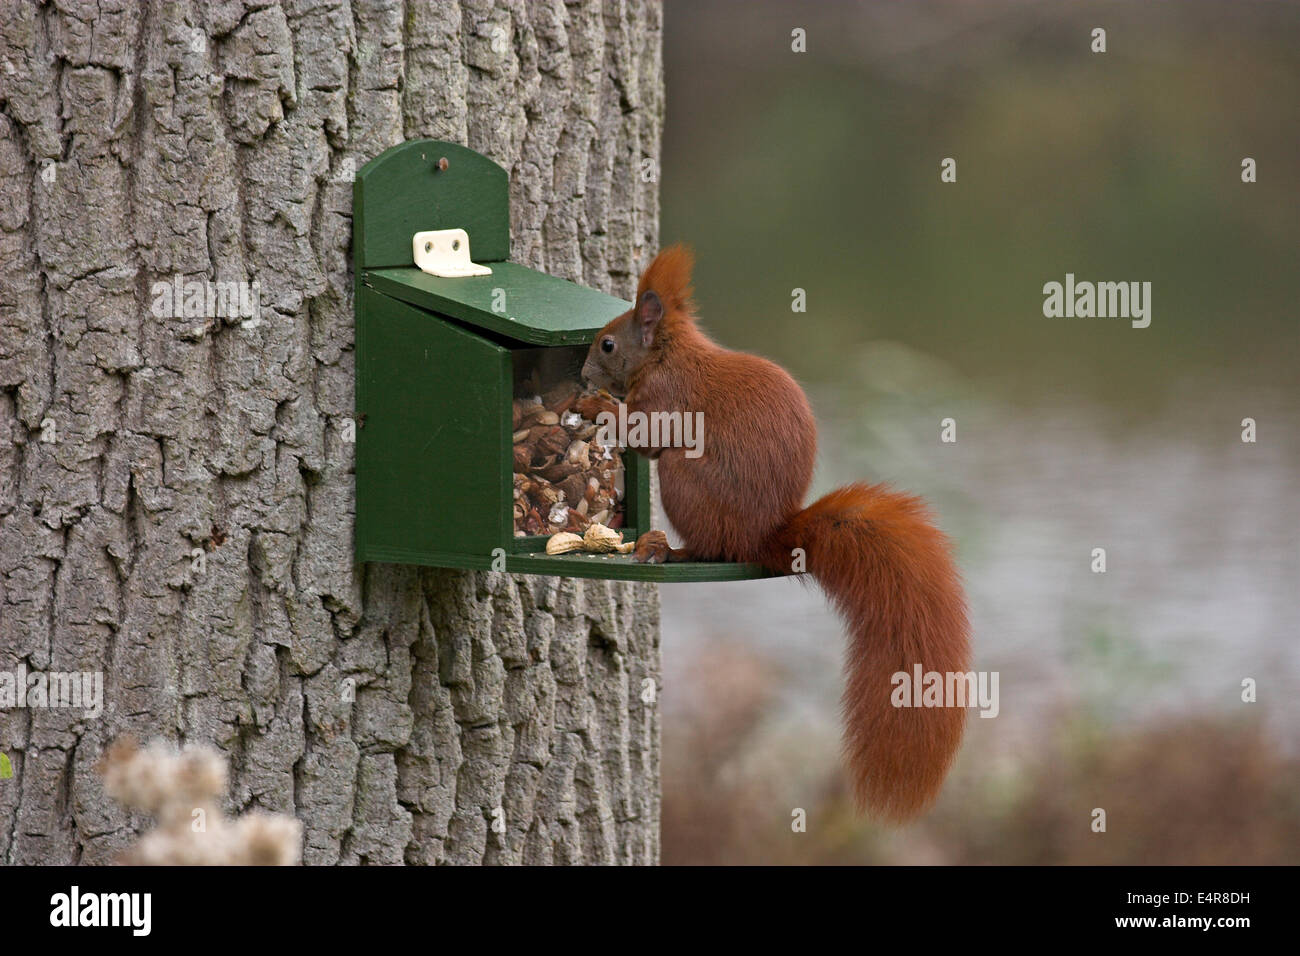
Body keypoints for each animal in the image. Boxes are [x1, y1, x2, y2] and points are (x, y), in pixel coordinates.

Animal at [580, 245, 971, 821]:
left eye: (608, 343)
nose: (584, 376)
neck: (667, 356)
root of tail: (763, 541)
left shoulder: (664, 400)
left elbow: (643, 434)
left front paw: (600, 410)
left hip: (684, 482)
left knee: (708, 547)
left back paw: (666, 548)